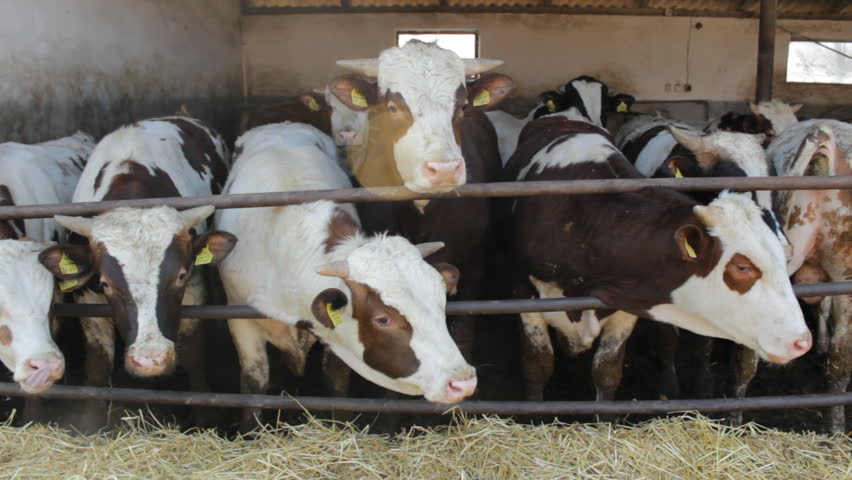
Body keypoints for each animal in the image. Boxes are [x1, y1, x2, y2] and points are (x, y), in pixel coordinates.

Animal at [38, 116, 236, 429]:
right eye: (106, 283)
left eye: (179, 276)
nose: (150, 359)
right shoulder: (86, 299)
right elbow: (99, 363)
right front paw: (91, 423)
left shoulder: (194, 288)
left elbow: (193, 352)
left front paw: (205, 417)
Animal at [215, 122, 474, 429]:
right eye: (383, 319)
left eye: (440, 303)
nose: (462, 382)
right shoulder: (238, 316)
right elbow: (254, 381)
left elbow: (336, 379)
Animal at [505, 111, 812, 405]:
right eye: (743, 266)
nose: (802, 341)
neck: (584, 222)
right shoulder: (523, 294)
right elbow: (538, 365)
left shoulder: (625, 305)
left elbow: (607, 372)